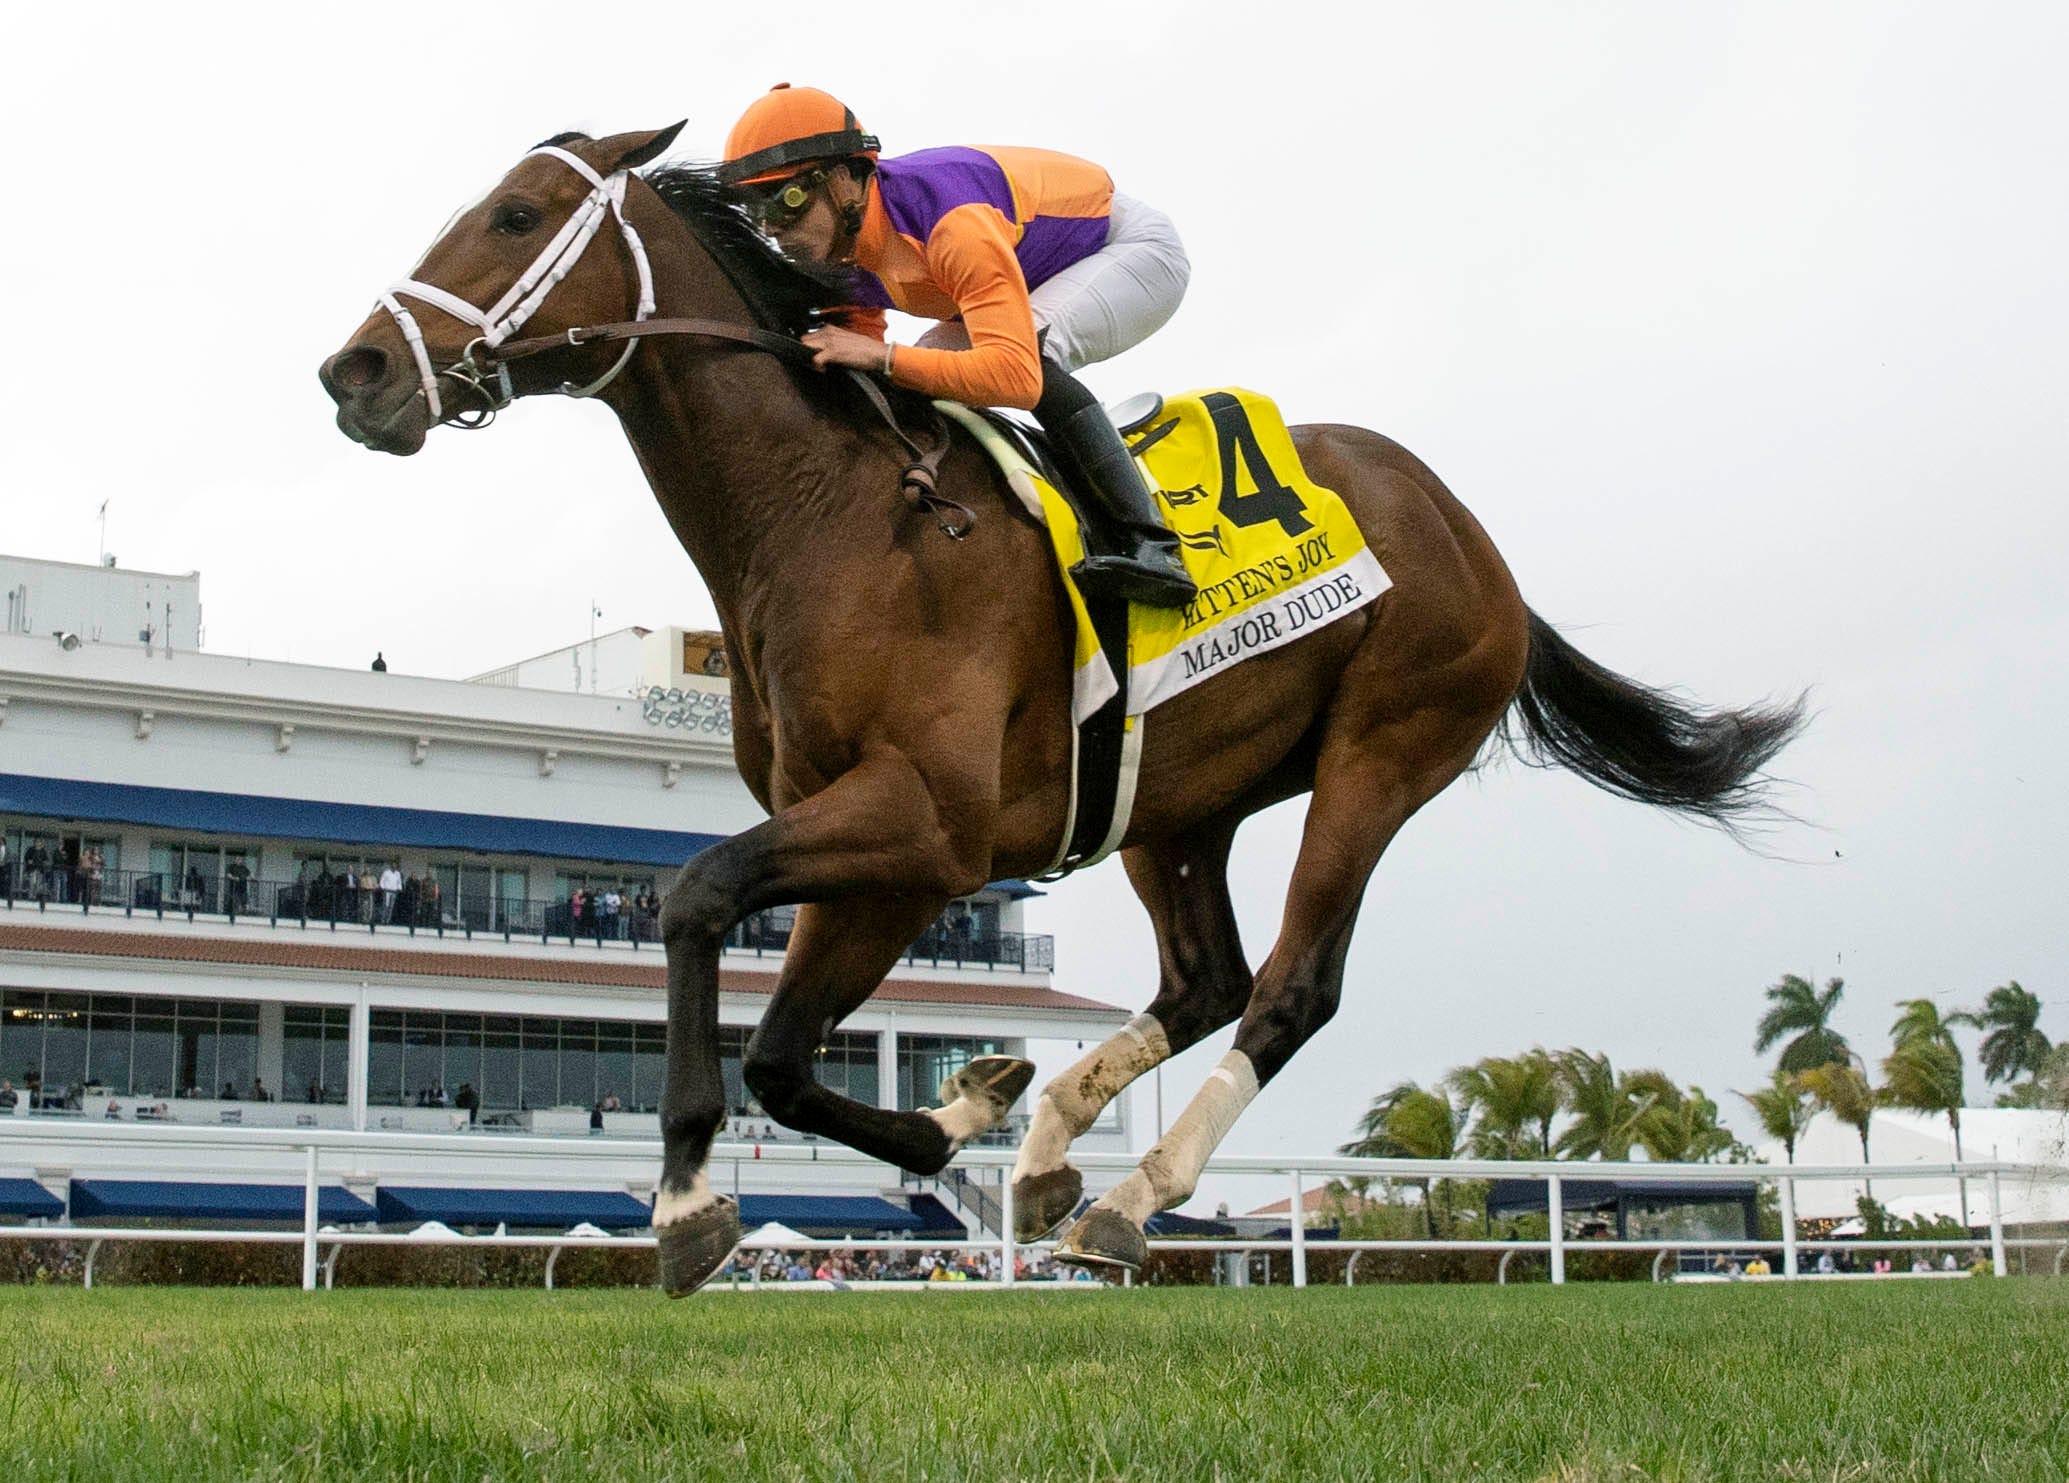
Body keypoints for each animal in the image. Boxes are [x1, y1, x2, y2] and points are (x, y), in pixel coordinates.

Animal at [320, 125, 1804, 1293]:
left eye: (514, 216)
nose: (357, 374)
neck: (830, 513)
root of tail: (1467, 531)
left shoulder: (925, 825)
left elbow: (695, 900)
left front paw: (692, 1197)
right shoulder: (890, 846)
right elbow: (784, 1052)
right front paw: (964, 1107)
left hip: (1383, 750)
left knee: (1290, 987)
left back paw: (1129, 1194)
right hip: (1175, 797)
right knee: (1204, 977)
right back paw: (1050, 1150)